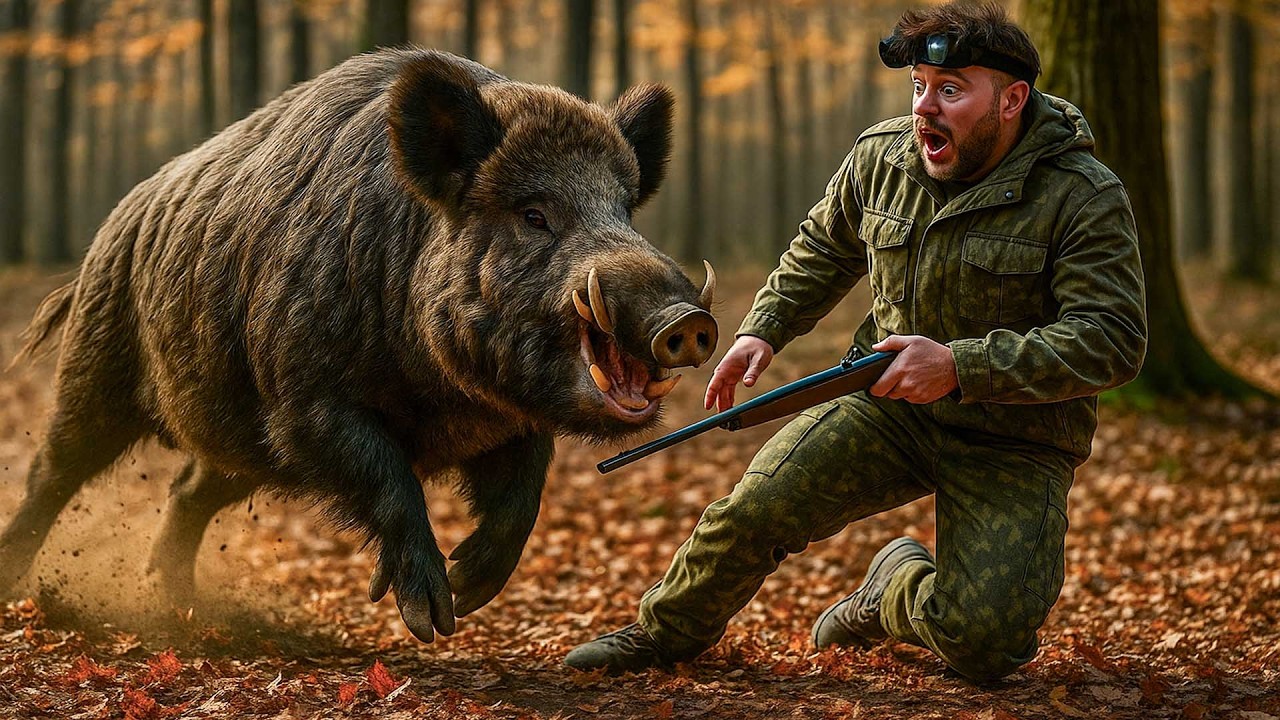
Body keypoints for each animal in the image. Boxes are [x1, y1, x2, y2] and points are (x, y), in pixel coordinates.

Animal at [0, 48, 718, 643]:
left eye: (624, 209)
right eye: (534, 214)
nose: (684, 319)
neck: (443, 393)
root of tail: (111, 228)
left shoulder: (508, 419)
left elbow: (523, 498)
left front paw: (467, 590)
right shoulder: (306, 401)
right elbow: (390, 479)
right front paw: (432, 618)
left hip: (240, 444)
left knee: (187, 489)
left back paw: (180, 604)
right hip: (98, 366)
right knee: (53, 469)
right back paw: (22, 587)